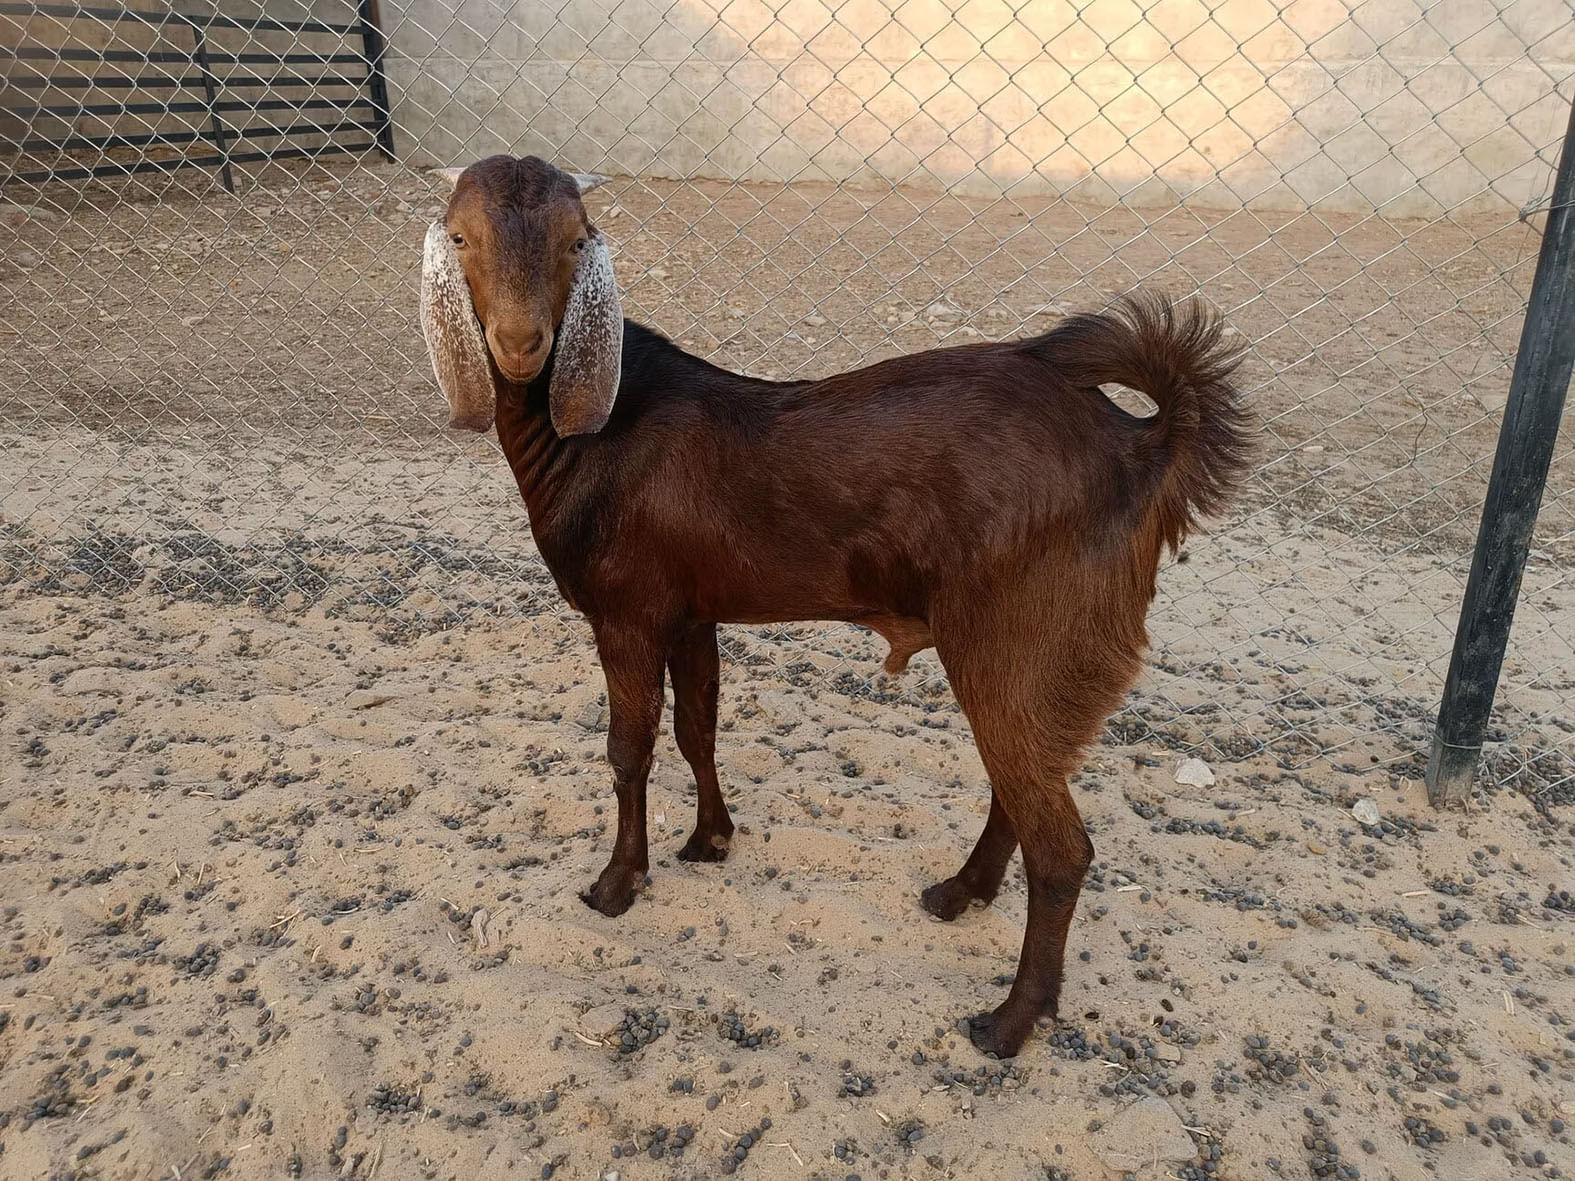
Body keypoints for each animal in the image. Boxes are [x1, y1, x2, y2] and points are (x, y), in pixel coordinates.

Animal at [420, 154, 1253, 1057]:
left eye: (577, 241)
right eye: (460, 235)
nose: (520, 344)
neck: (599, 430)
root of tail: (1142, 448)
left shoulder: (628, 614)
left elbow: (627, 749)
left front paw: (615, 883)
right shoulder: (691, 611)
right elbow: (698, 726)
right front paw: (710, 839)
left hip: (1022, 637)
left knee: (1060, 844)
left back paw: (1009, 1019)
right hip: (1023, 658)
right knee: (1023, 782)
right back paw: (958, 892)